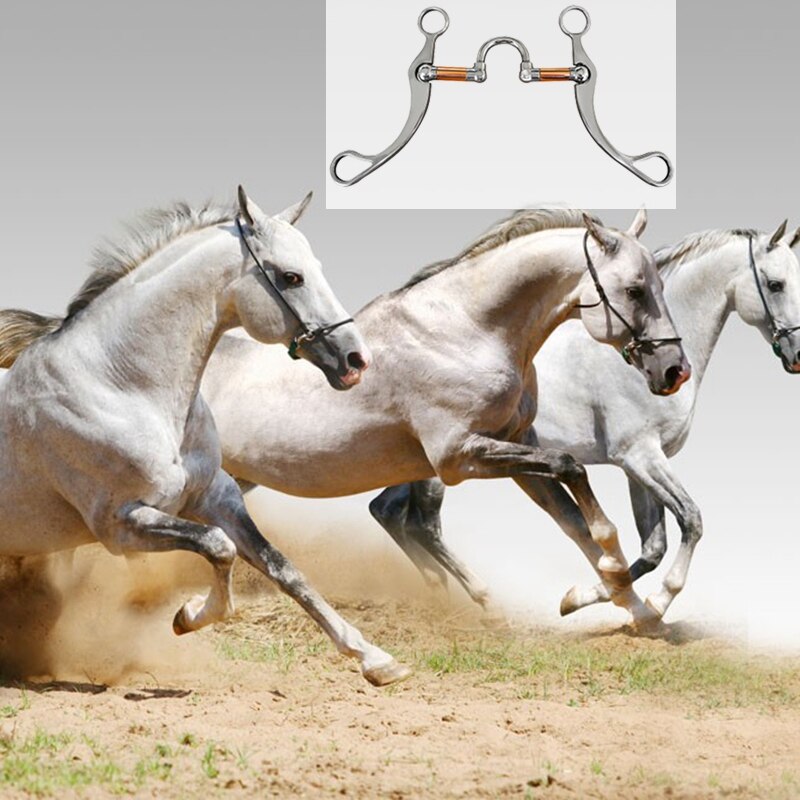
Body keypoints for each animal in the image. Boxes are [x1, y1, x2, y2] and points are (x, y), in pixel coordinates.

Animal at [0, 187, 412, 687]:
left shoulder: (216, 496)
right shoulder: (122, 524)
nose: (356, 360)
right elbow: (219, 547)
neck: (121, 385)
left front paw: (376, 659)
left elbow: (282, 567)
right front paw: (190, 615)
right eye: (291, 277)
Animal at [201, 209, 690, 623]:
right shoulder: (458, 458)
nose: (674, 370)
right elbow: (573, 474)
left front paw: (633, 610)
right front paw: (614, 565)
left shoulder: (519, 449)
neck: (467, 331)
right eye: (634, 290)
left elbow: (572, 520)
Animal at [361, 221, 800, 622]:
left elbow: (652, 547)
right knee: (422, 524)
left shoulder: (638, 466)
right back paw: (478, 598)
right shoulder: (640, 456)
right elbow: (690, 520)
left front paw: (591, 598)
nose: (797, 356)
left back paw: (436, 590)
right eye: (775, 284)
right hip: (444, 467)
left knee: (387, 511)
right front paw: (652, 602)